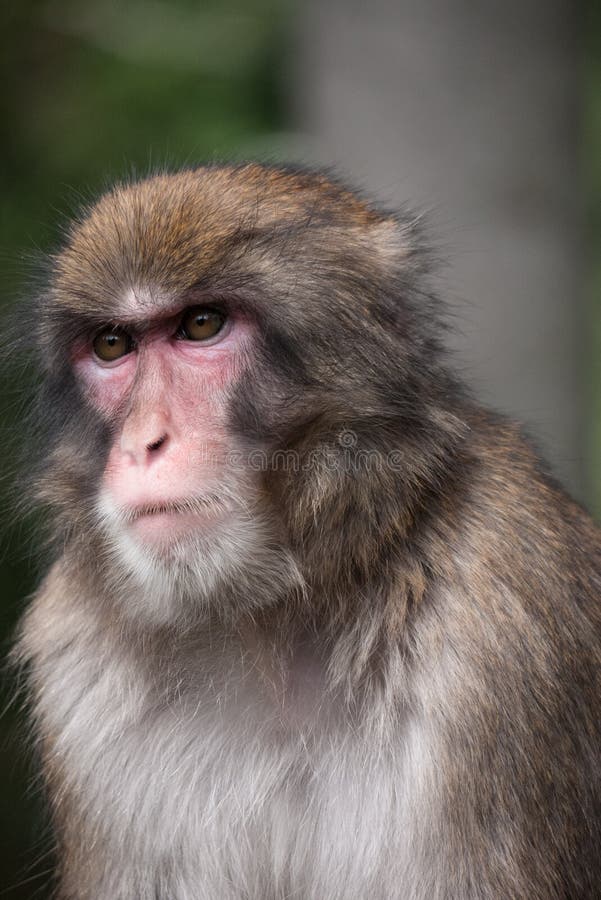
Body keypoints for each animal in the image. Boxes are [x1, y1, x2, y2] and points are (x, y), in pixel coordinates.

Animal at [10, 163, 601, 900]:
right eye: (112, 345)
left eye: (201, 325)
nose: (144, 443)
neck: (272, 618)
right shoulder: (76, 671)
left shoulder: (501, 640)